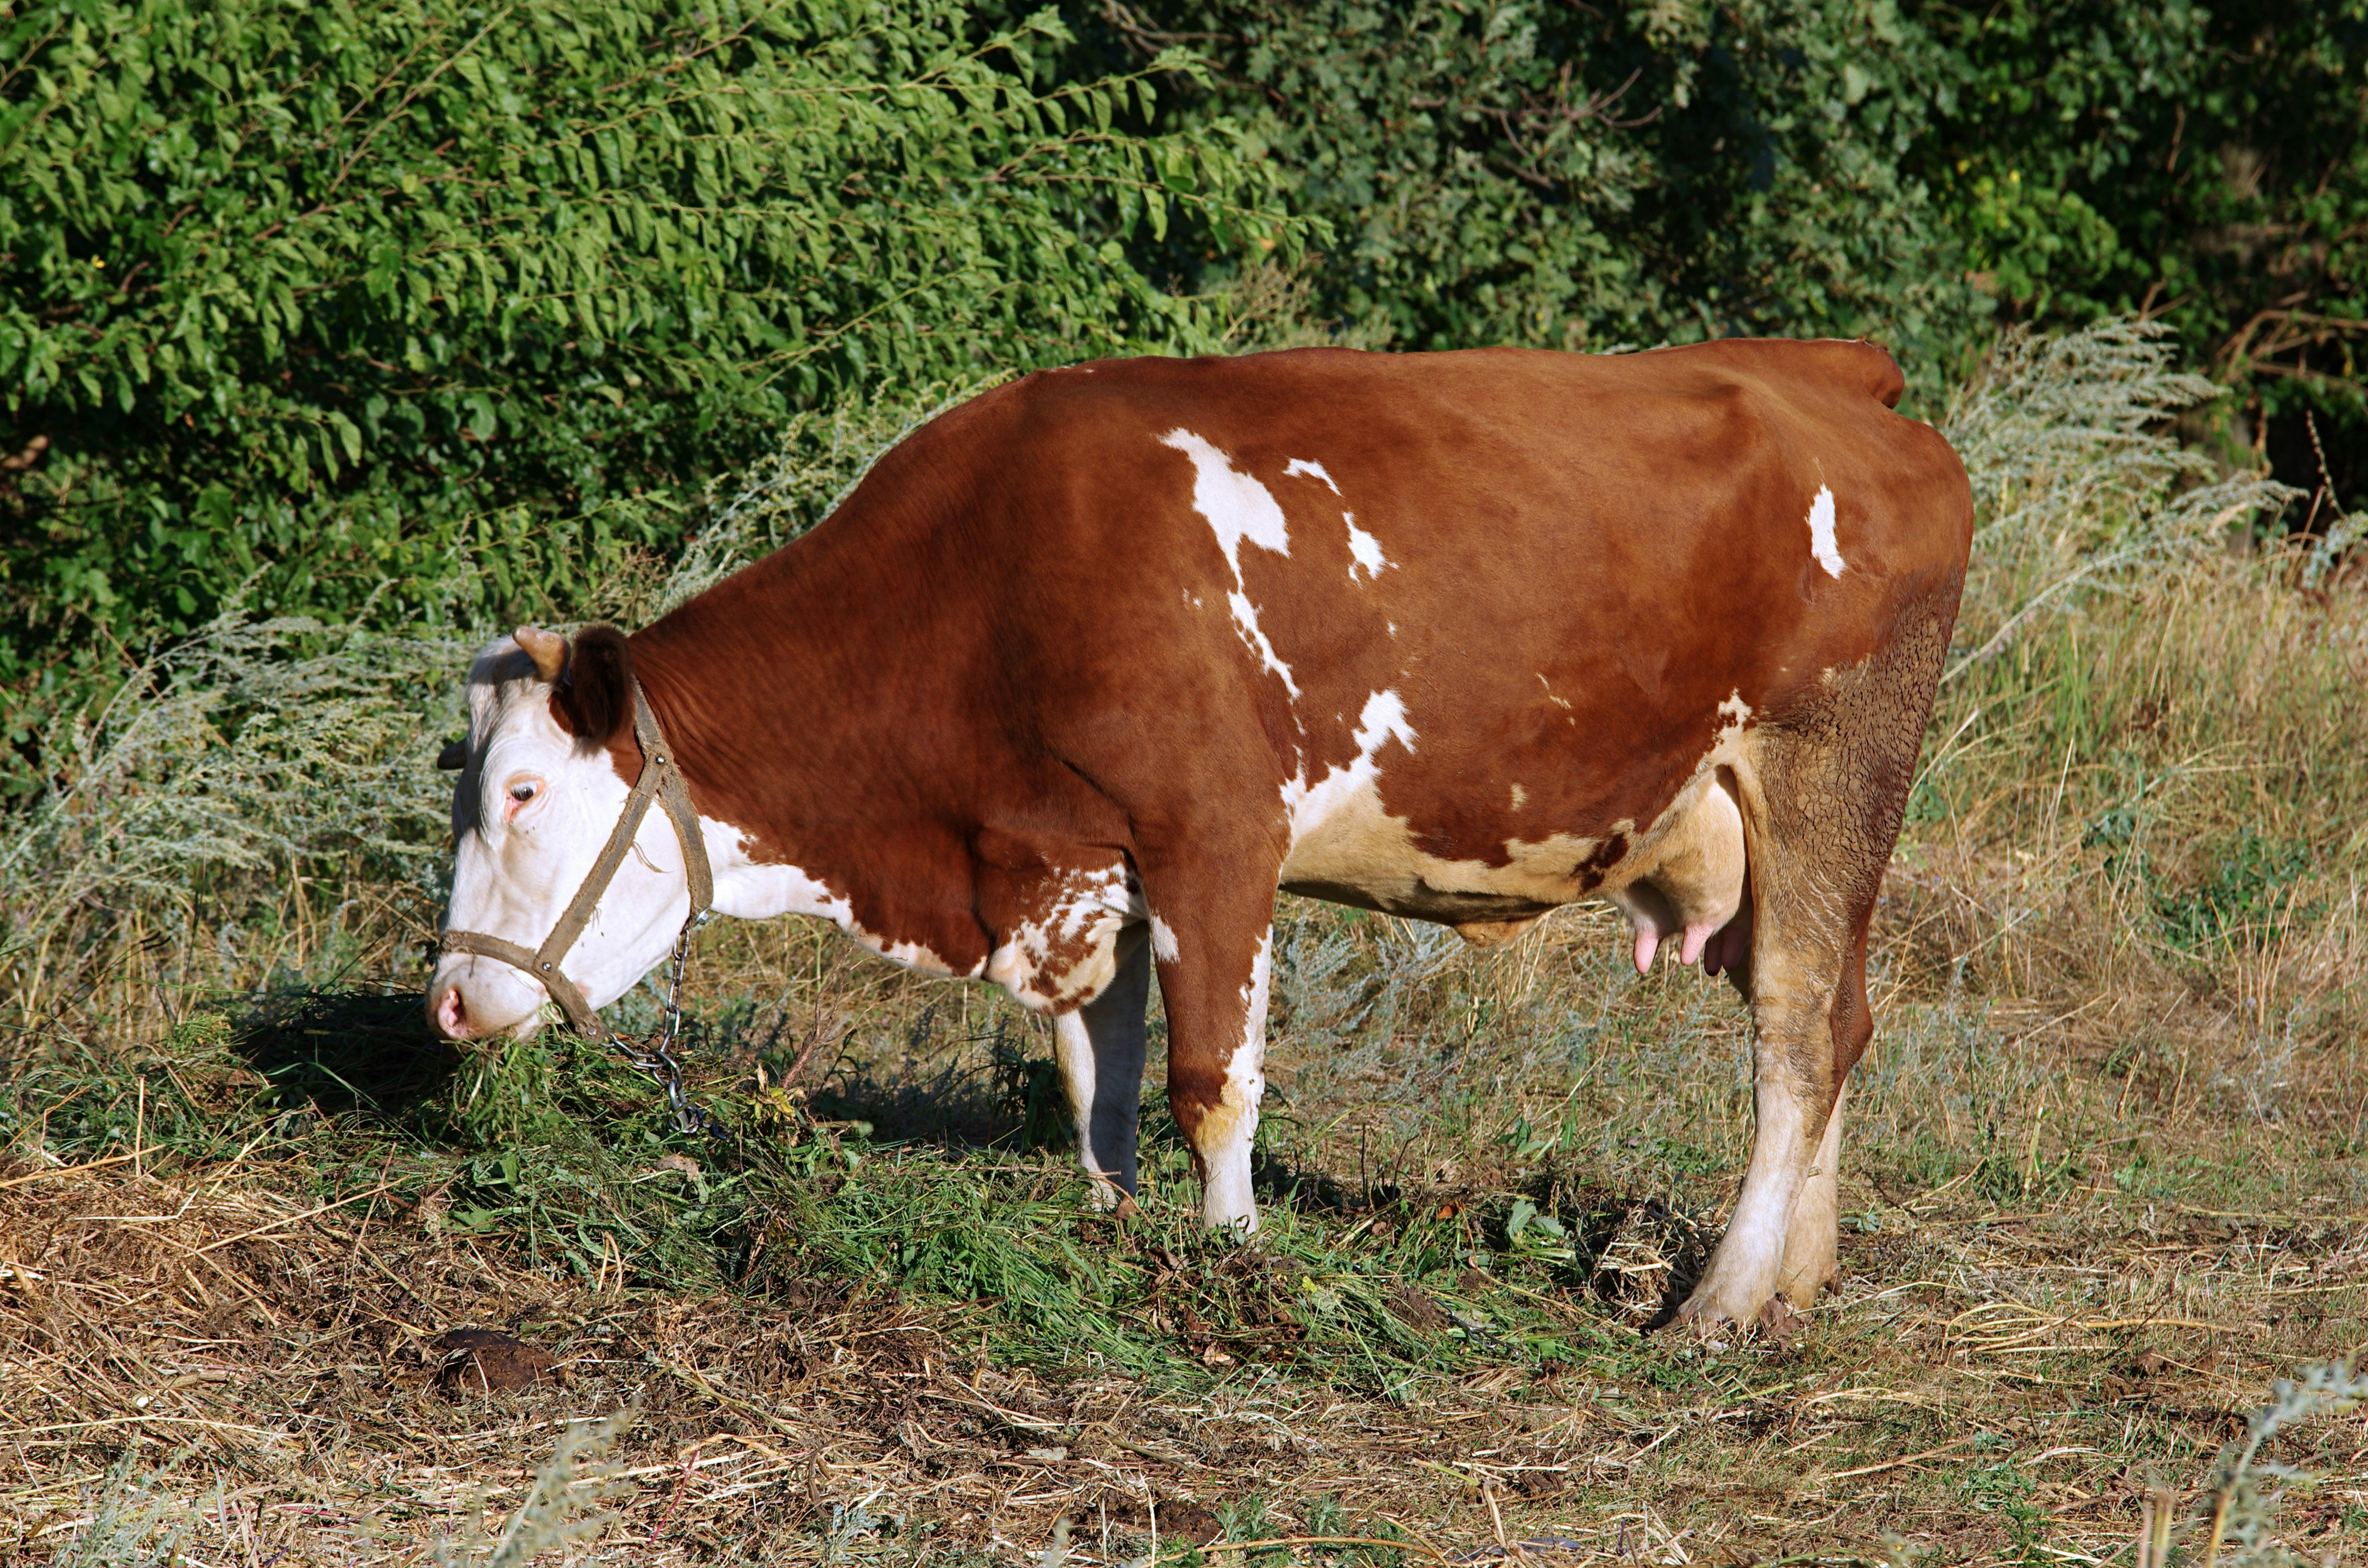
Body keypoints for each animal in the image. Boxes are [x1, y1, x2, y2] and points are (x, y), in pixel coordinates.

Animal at [427, 340, 1972, 1335]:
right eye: (461, 776)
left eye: (522, 793)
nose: (444, 1002)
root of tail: (1837, 376)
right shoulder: (1071, 863)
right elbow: (1093, 1080)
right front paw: (1112, 1228)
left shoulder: (1215, 838)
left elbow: (1210, 1080)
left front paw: (1231, 1261)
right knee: (1837, 1014)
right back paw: (1796, 1288)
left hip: (1830, 768)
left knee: (1798, 1032)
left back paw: (1719, 1305)